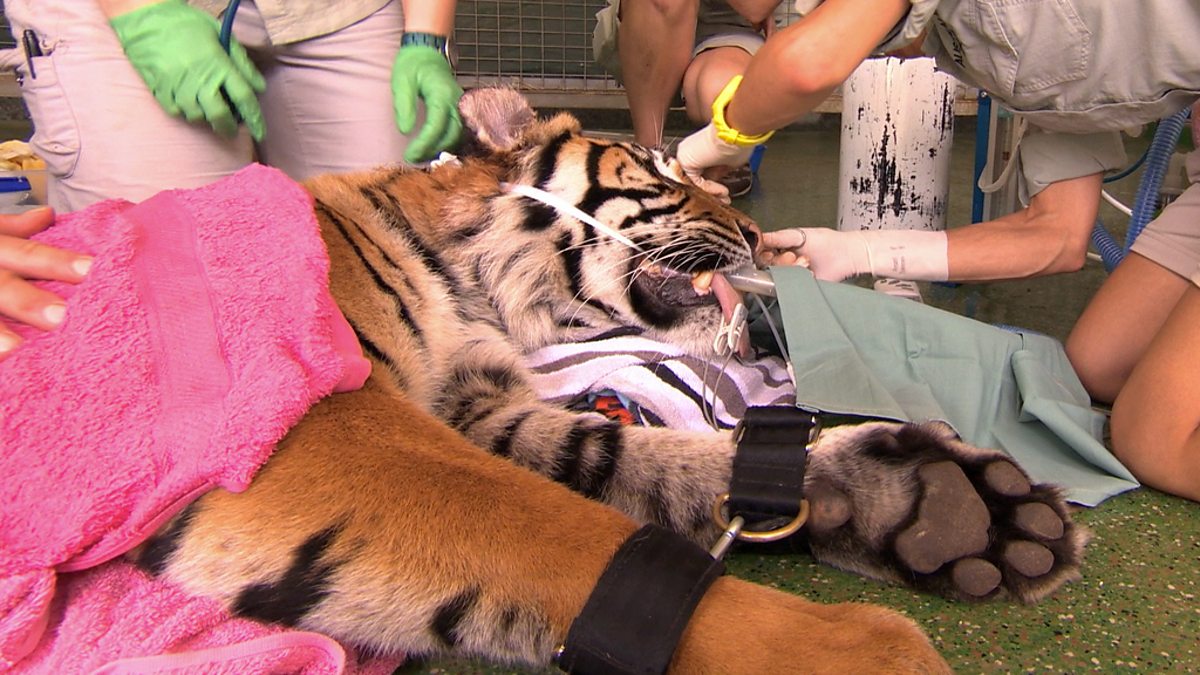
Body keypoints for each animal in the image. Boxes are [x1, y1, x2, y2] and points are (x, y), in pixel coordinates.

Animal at [131, 87, 1086, 672]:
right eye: (662, 172)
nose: (754, 230)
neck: (475, 287)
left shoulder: (480, 407)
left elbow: (612, 455)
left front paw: (927, 502)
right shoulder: (314, 417)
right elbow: (540, 523)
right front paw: (854, 647)